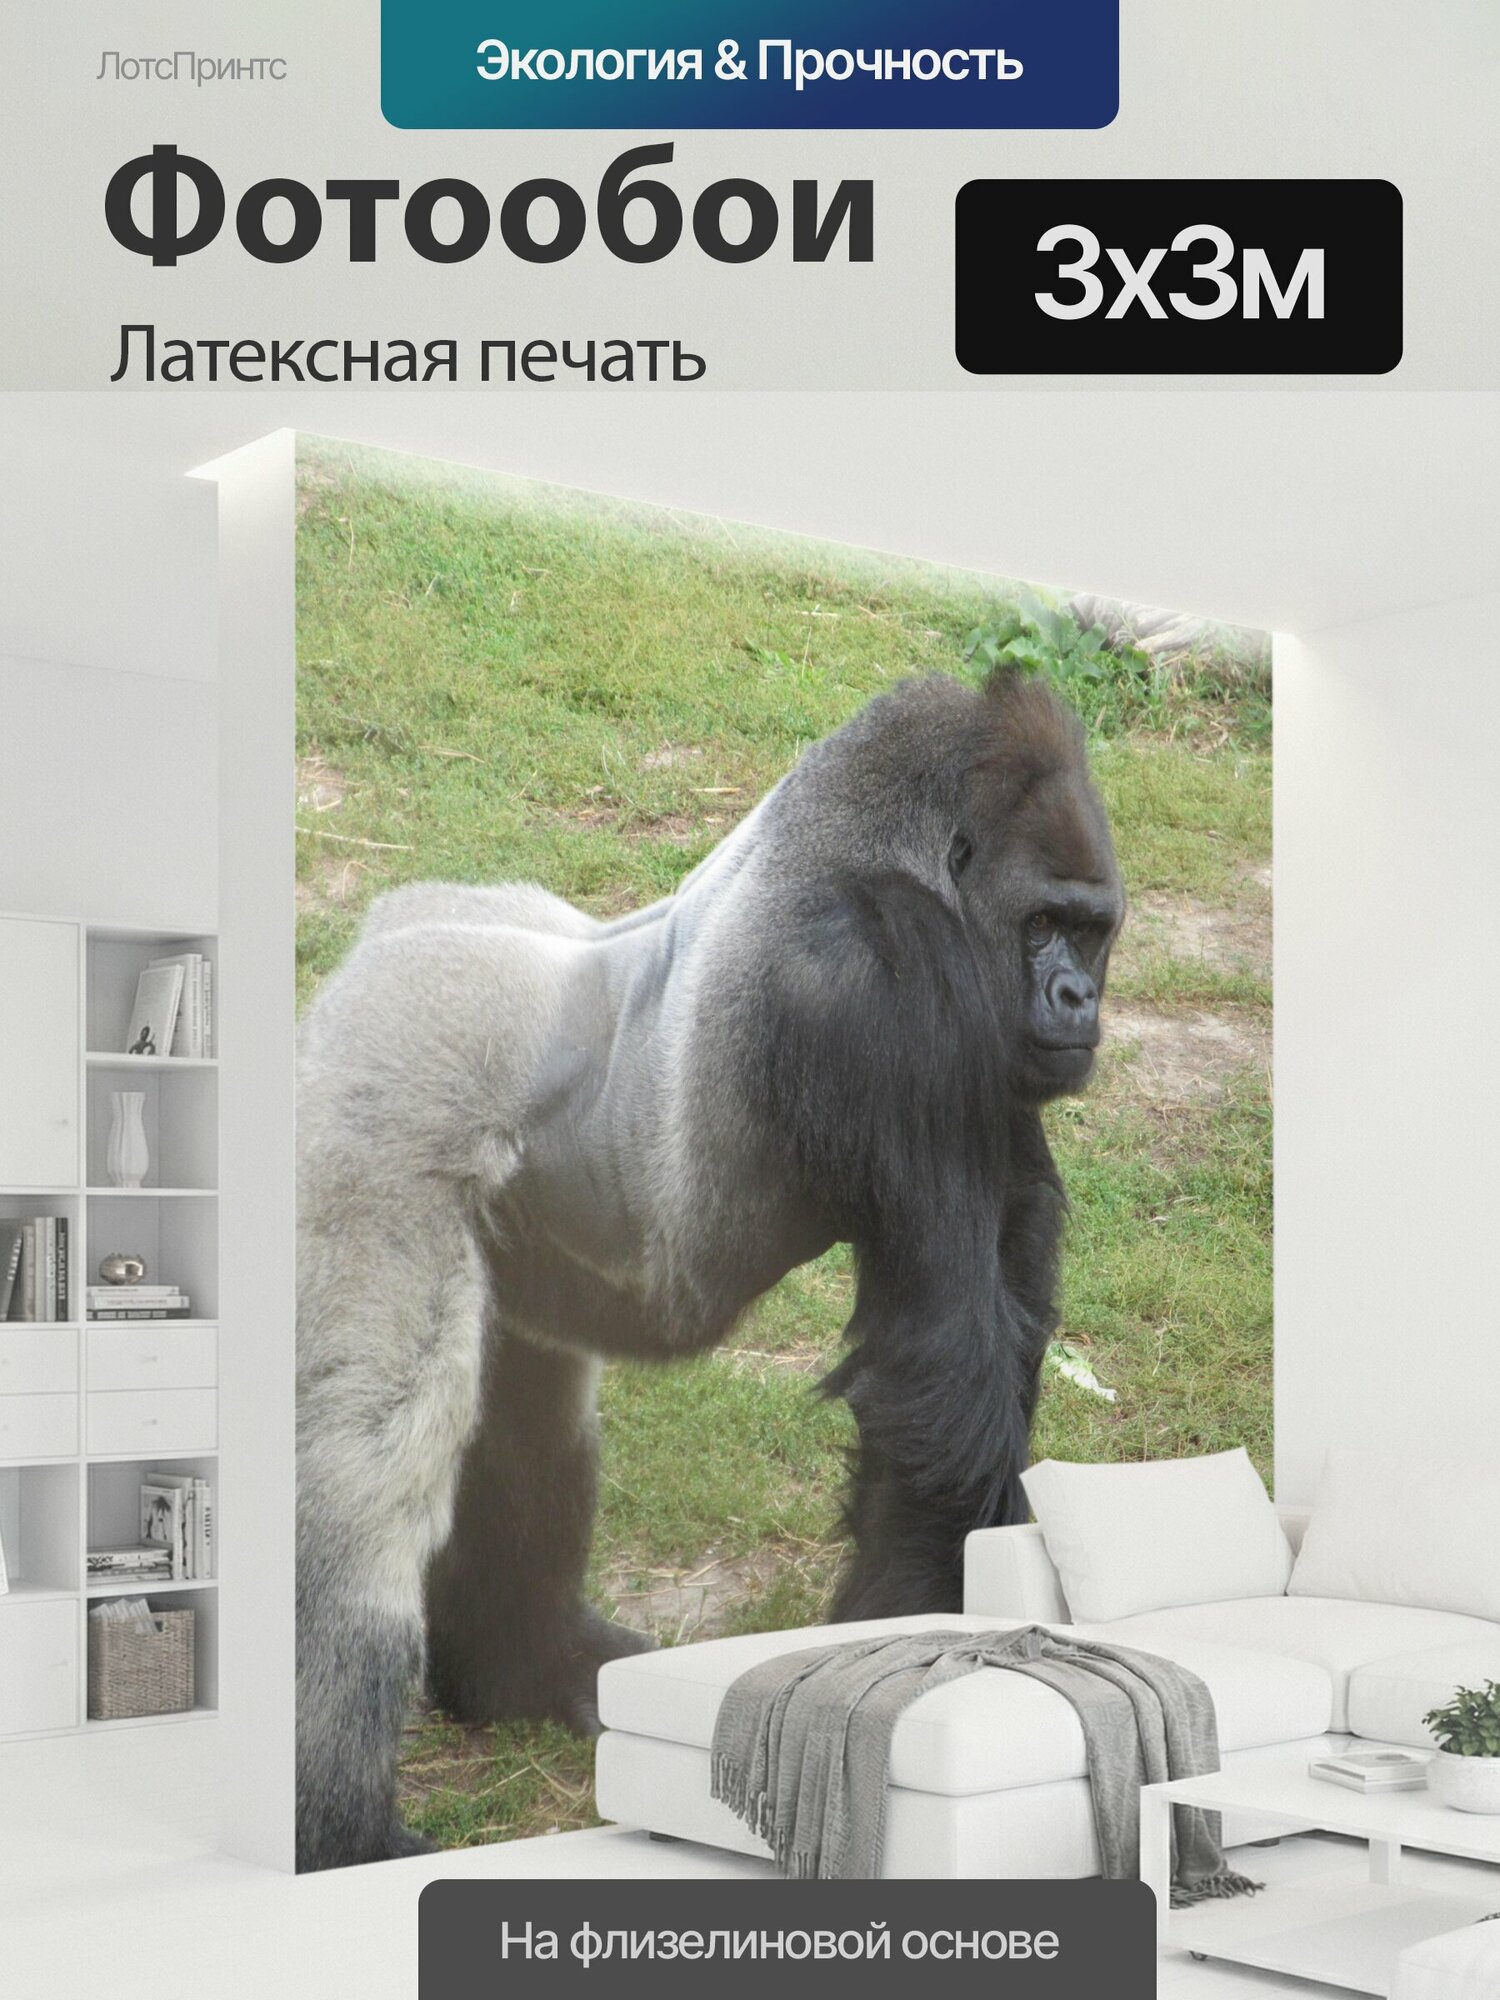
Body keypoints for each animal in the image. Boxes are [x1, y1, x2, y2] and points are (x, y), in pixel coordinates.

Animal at [294, 666, 1123, 1870]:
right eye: (1044, 925)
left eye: (1095, 932)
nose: (1079, 1001)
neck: (888, 850)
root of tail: (386, 935)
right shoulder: (894, 978)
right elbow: (945, 1390)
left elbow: (996, 1339)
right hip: (384, 1078)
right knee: (367, 1468)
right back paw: (338, 1828)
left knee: (523, 1415)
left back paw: (523, 1669)